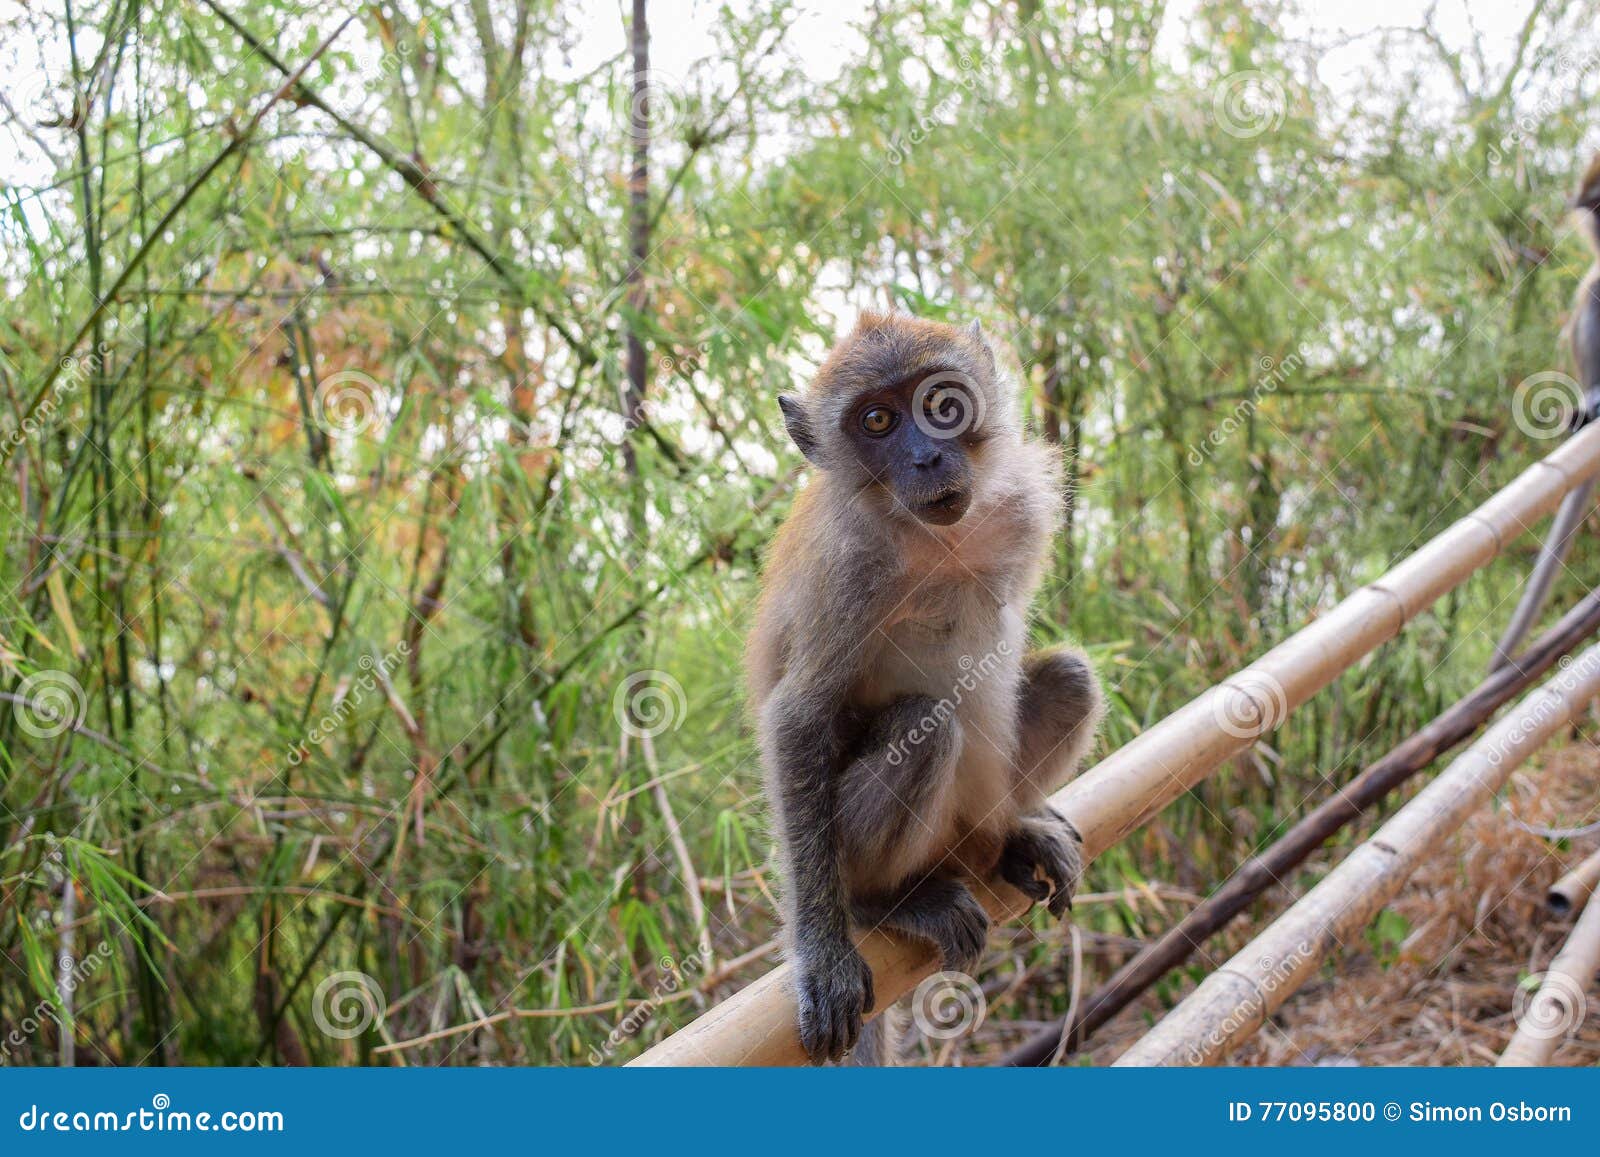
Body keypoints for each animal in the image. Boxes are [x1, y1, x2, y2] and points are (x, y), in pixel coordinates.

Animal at [746, 311, 1104, 1064]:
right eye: (878, 420)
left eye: (943, 406)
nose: (927, 459)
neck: (937, 539)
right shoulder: (846, 569)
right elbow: (798, 718)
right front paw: (821, 947)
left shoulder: (1023, 505)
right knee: (926, 724)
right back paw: (877, 904)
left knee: (1071, 679)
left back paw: (1015, 835)